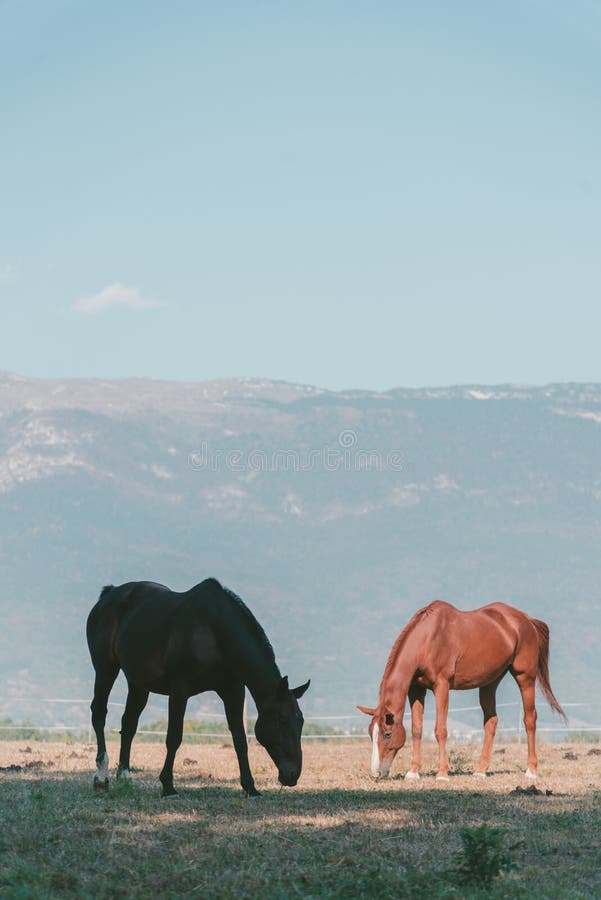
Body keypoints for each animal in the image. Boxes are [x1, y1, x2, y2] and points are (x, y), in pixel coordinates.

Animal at [86, 578, 310, 797]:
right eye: (282, 720)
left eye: (300, 721)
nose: (293, 775)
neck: (214, 630)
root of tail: (109, 593)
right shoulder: (179, 690)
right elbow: (174, 737)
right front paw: (168, 786)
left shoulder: (233, 691)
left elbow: (240, 739)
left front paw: (250, 787)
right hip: (105, 670)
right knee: (99, 713)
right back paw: (101, 776)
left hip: (138, 683)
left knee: (129, 723)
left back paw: (125, 776)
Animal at [358, 600, 566, 781]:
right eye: (370, 733)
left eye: (387, 734)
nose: (376, 774)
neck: (428, 638)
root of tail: (526, 620)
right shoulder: (416, 690)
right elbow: (417, 729)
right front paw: (413, 772)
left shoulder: (442, 686)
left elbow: (440, 730)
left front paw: (442, 774)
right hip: (490, 682)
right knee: (491, 722)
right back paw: (481, 771)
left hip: (525, 678)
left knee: (530, 719)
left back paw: (531, 771)